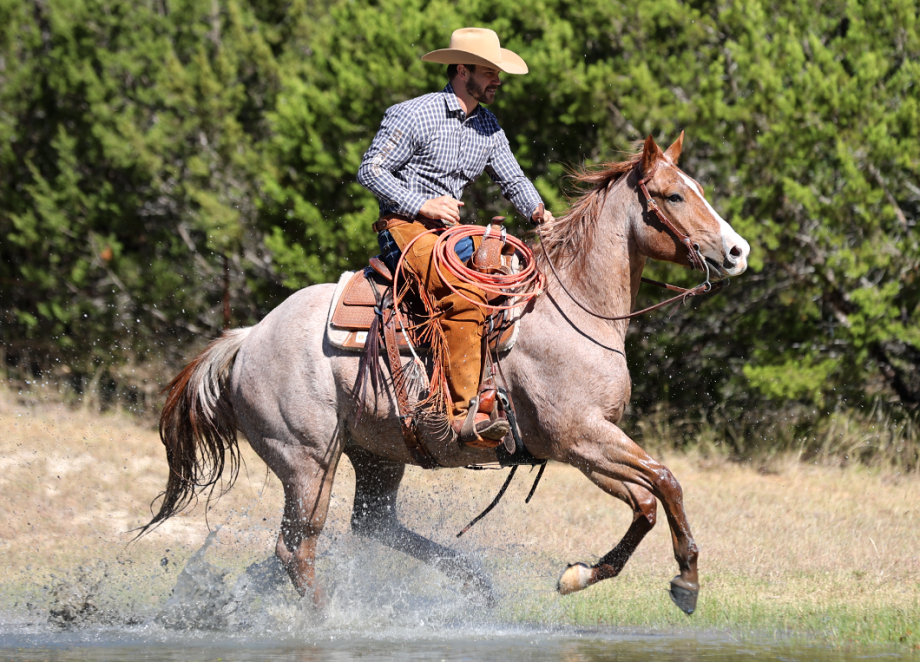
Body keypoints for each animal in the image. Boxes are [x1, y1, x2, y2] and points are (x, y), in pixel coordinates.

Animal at [144, 133, 751, 615]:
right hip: (307, 463)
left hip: (377, 456)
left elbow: (646, 502)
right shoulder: (580, 437)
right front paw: (687, 582)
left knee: (368, 528)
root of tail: (249, 338)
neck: (573, 310)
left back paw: (470, 583)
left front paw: (577, 576)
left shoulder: (585, 444)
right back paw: (328, 617)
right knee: (297, 550)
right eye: (674, 195)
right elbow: (667, 482)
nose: (737, 251)